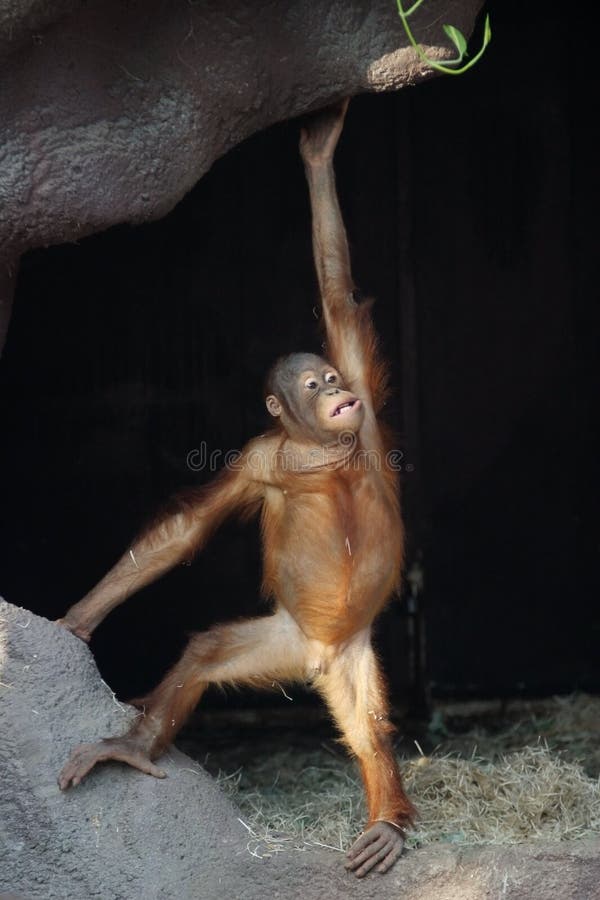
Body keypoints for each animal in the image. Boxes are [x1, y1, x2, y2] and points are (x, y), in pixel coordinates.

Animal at [57, 98, 415, 878]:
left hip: (351, 652)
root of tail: (320, 659)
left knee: (371, 727)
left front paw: (317, 155)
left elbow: (337, 292)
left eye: (334, 378)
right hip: (282, 641)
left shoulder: (366, 413)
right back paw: (133, 746)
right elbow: (185, 531)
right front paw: (79, 619)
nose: (335, 394)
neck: (322, 450)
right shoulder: (257, 460)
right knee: (207, 654)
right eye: (312, 386)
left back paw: (387, 821)